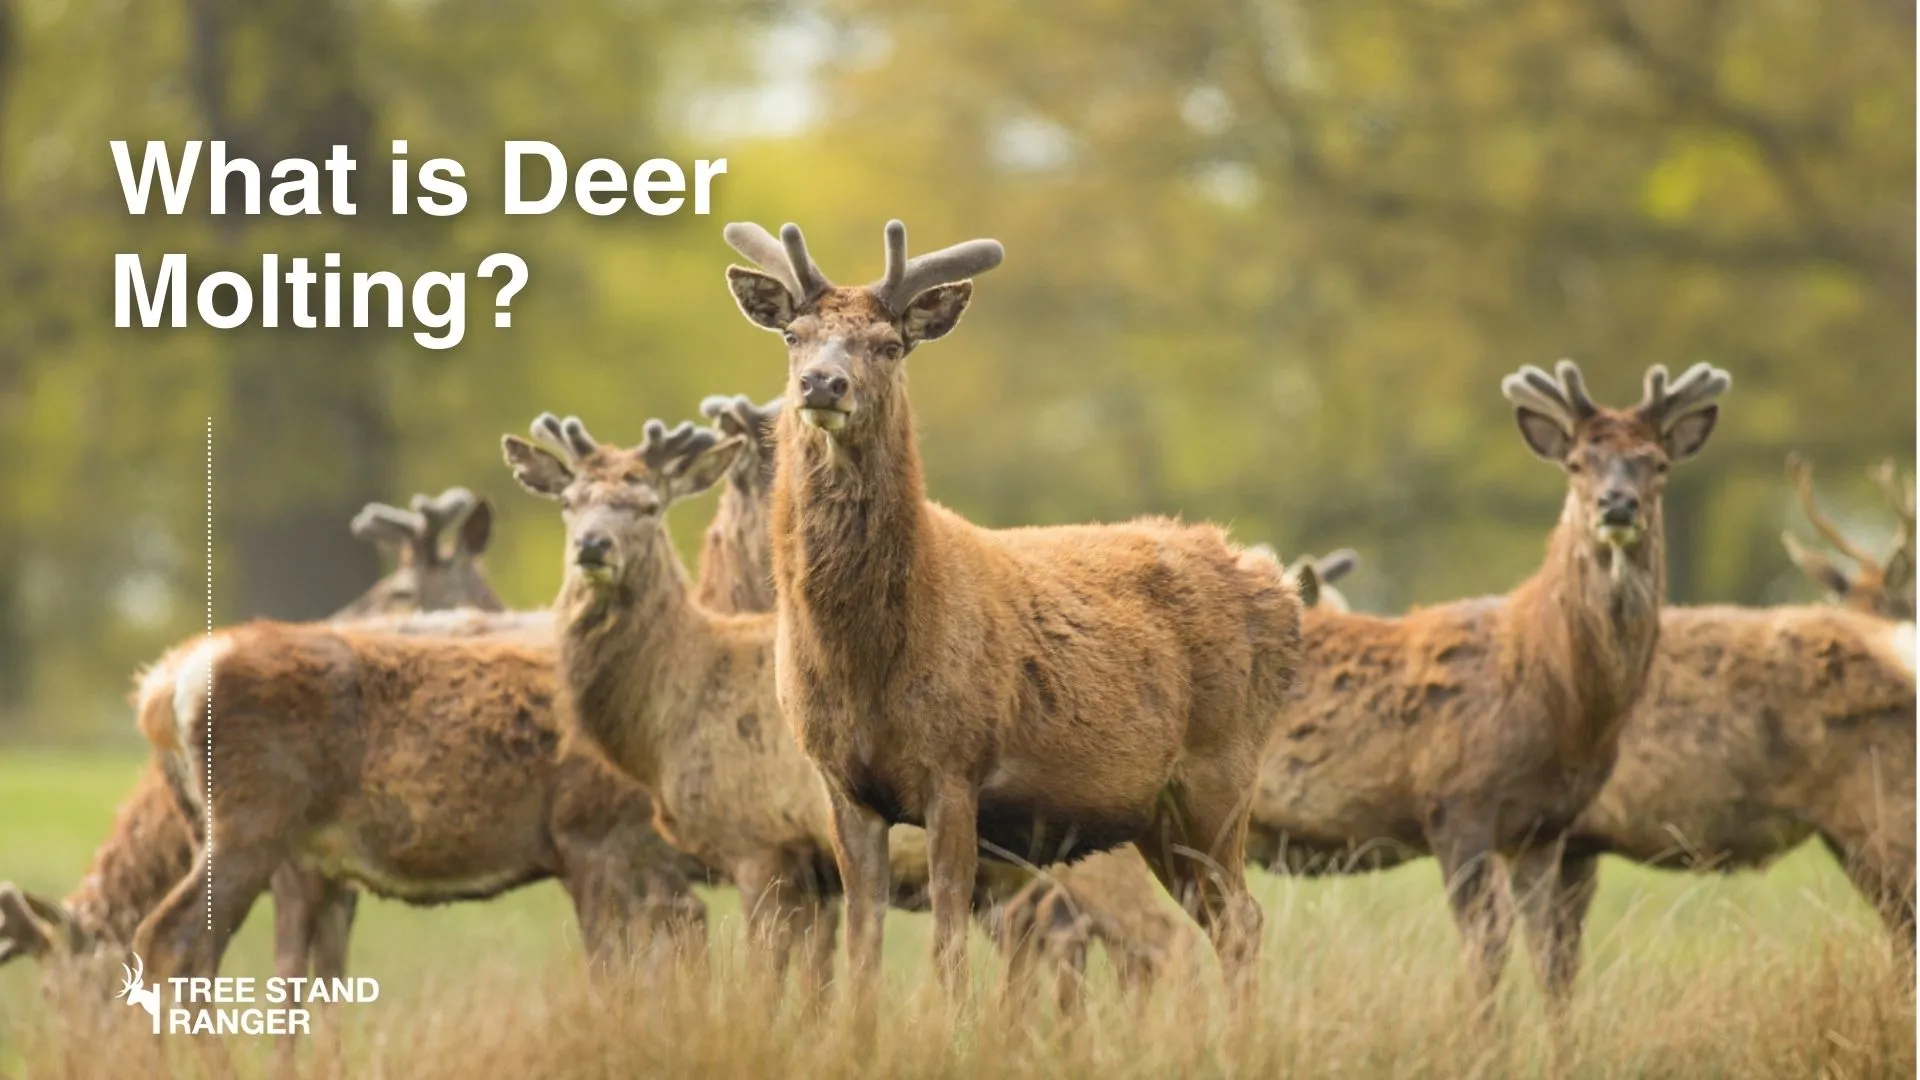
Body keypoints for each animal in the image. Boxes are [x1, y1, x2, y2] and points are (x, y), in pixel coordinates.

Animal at [722, 218, 1303, 1005]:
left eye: (889, 343)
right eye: (794, 335)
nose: (823, 383)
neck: (865, 659)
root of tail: (1283, 591)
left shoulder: (955, 764)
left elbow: (946, 946)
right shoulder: (843, 784)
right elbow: (863, 949)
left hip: (1221, 774)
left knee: (1239, 921)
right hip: (1157, 813)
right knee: (1219, 921)